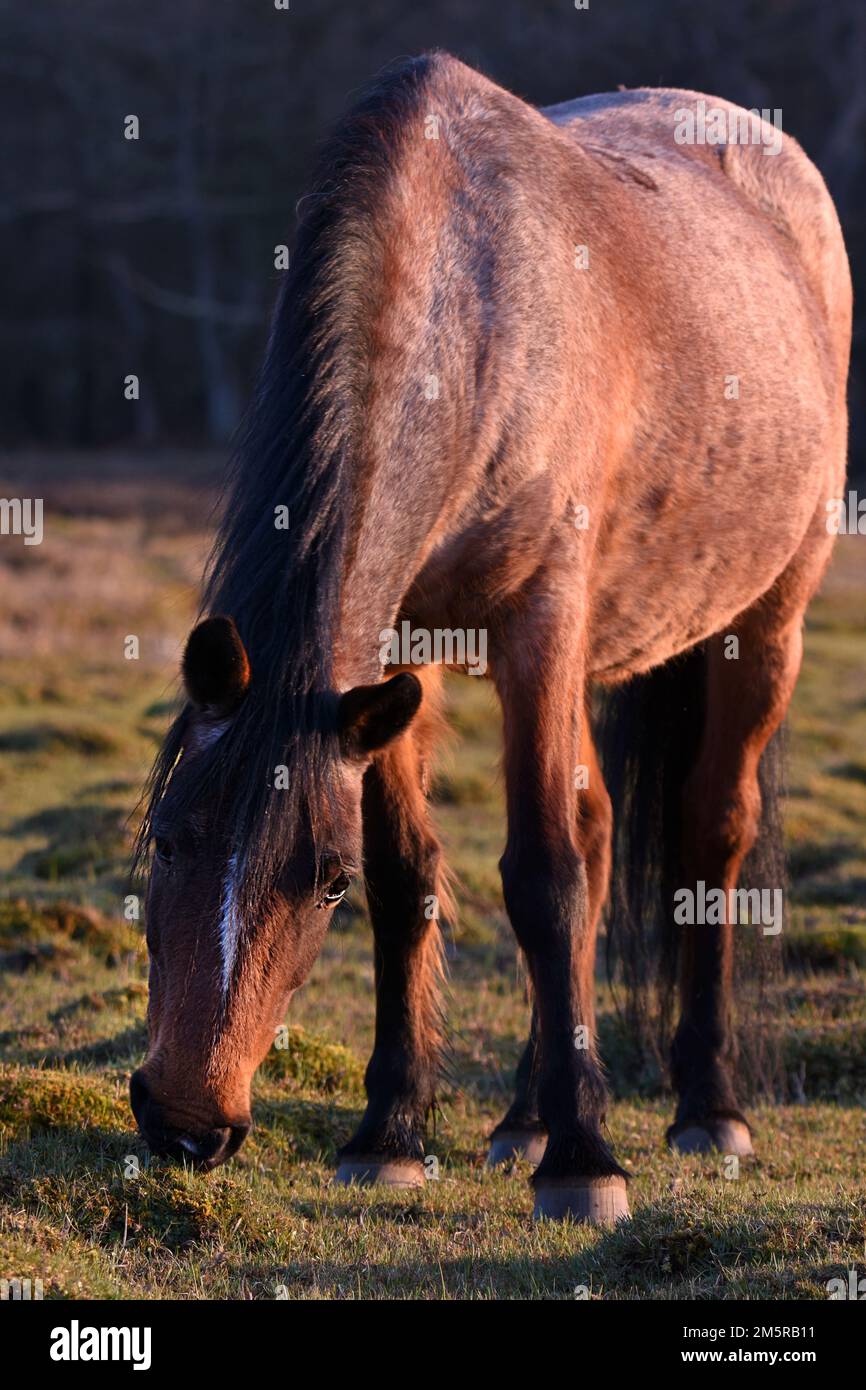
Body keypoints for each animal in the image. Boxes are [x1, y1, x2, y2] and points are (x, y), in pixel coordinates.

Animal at [132, 52, 851, 1223]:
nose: (188, 1124)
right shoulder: (387, 658)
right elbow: (417, 872)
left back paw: (705, 1109)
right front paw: (391, 1131)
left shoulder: (538, 628)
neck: (474, 319)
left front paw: (586, 1162)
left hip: (765, 624)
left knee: (707, 831)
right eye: (166, 839)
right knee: (601, 834)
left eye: (317, 880)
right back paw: (524, 1116)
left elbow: (541, 875)